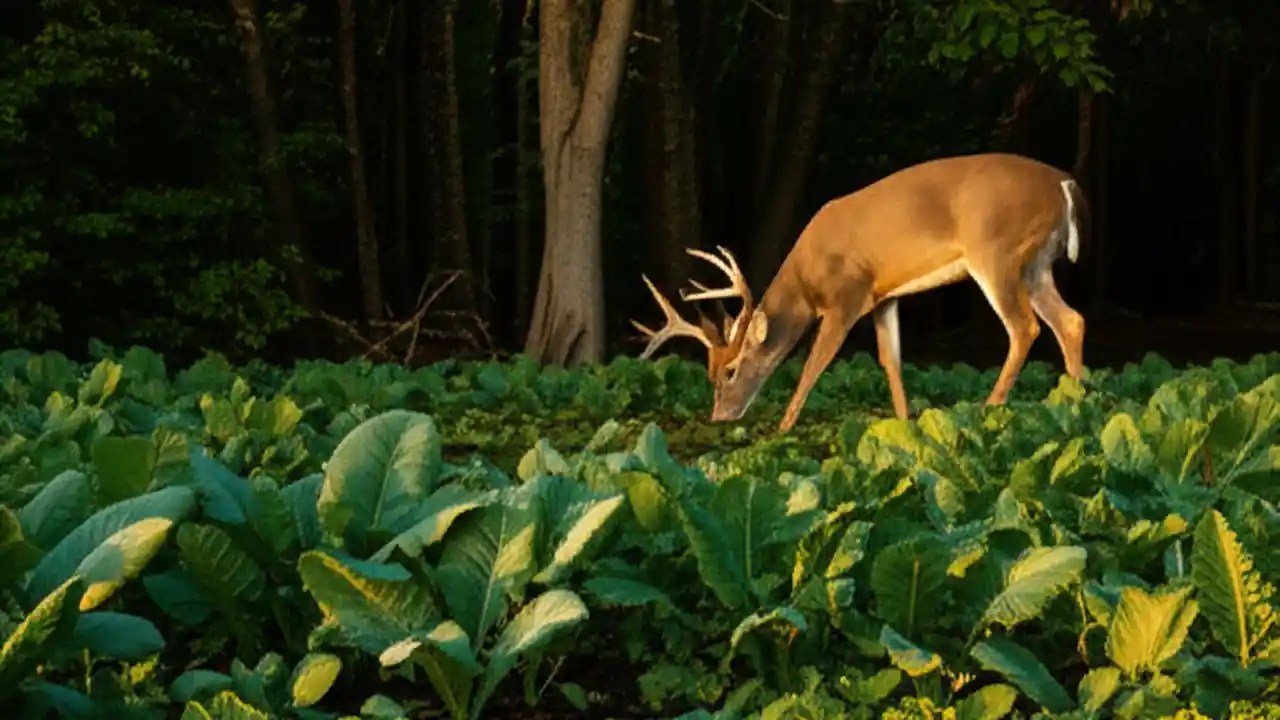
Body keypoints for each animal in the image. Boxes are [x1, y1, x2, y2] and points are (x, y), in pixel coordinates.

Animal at [631, 152, 1088, 433]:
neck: (806, 281)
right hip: (1036, 264)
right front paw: (904, 423)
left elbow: (815, 363)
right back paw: (1077, 402)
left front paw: (782, 428)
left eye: (730, 370)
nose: (720, 417)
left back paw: (991, 406)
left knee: (1025, 327)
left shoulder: (845, 296)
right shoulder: (884, 297)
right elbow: (891, 360)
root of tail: (1066, 184)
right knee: (1071, 320)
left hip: (996, 251)